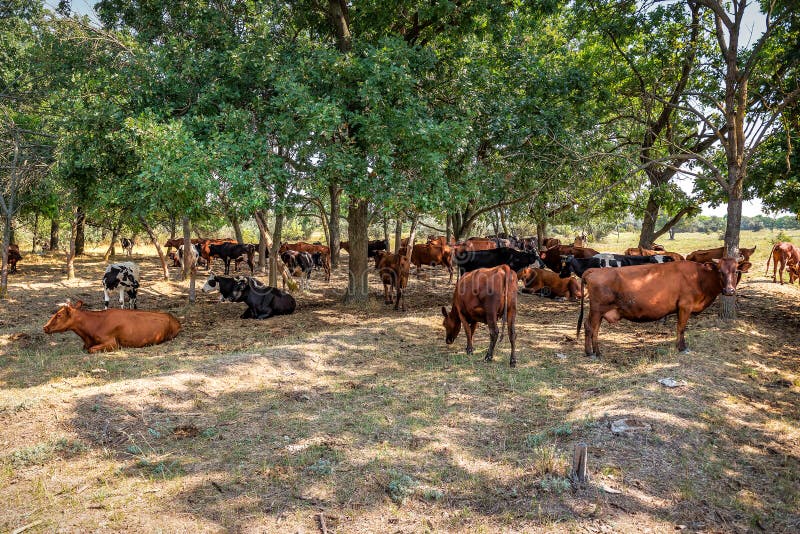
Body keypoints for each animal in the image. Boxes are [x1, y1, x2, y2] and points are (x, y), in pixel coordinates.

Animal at [578, 257, 752, 357]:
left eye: (736, 271)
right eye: (720, 271)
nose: (729, 291)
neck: (699, 277)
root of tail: (594, 270)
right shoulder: (685, 306)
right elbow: (681, 328)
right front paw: (682, 348)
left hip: (599, 311)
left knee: (591, 327)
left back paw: (593, 352)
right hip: (597, 309)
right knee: (591, 327)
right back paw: (593, 353)